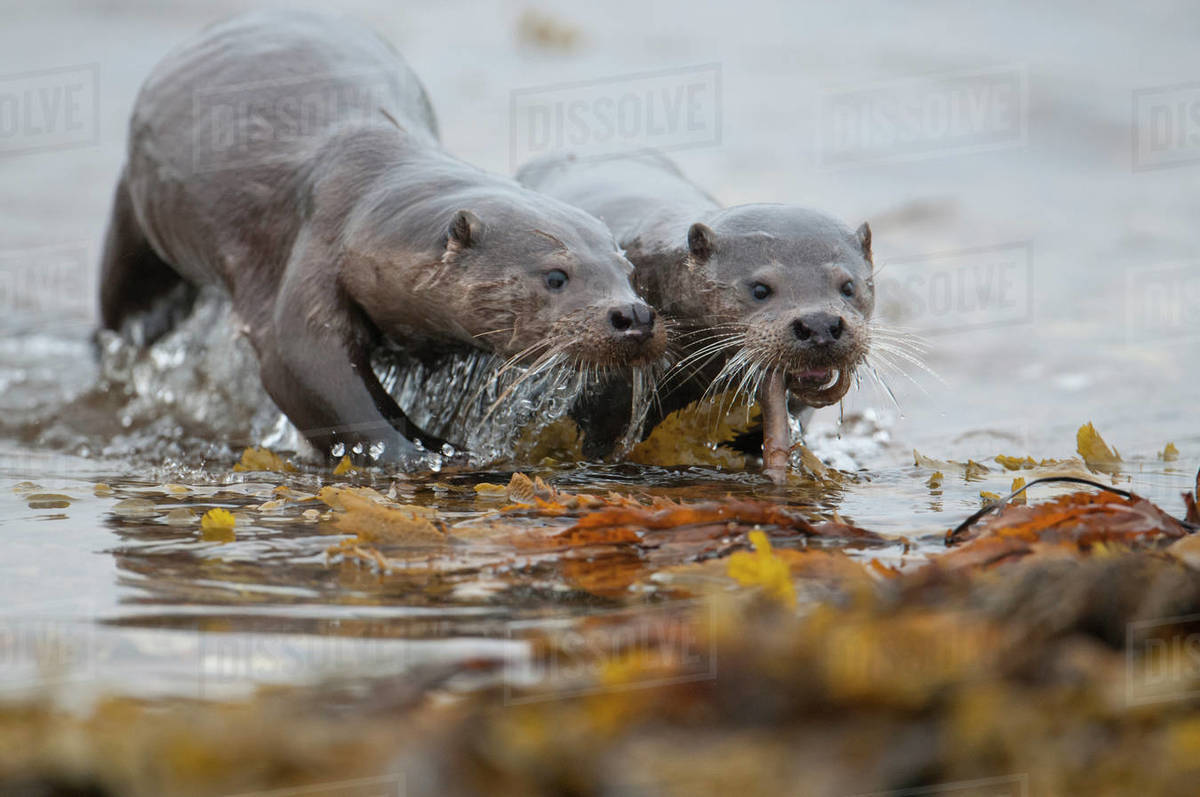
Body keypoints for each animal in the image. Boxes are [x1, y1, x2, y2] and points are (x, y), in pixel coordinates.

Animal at [99, 11, 665, 467]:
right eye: (555, 276)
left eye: (629, 273)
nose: (633, 315)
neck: (369, 206)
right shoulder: (316, 249)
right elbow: (307, 368)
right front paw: (423, 453)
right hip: (133, 208)